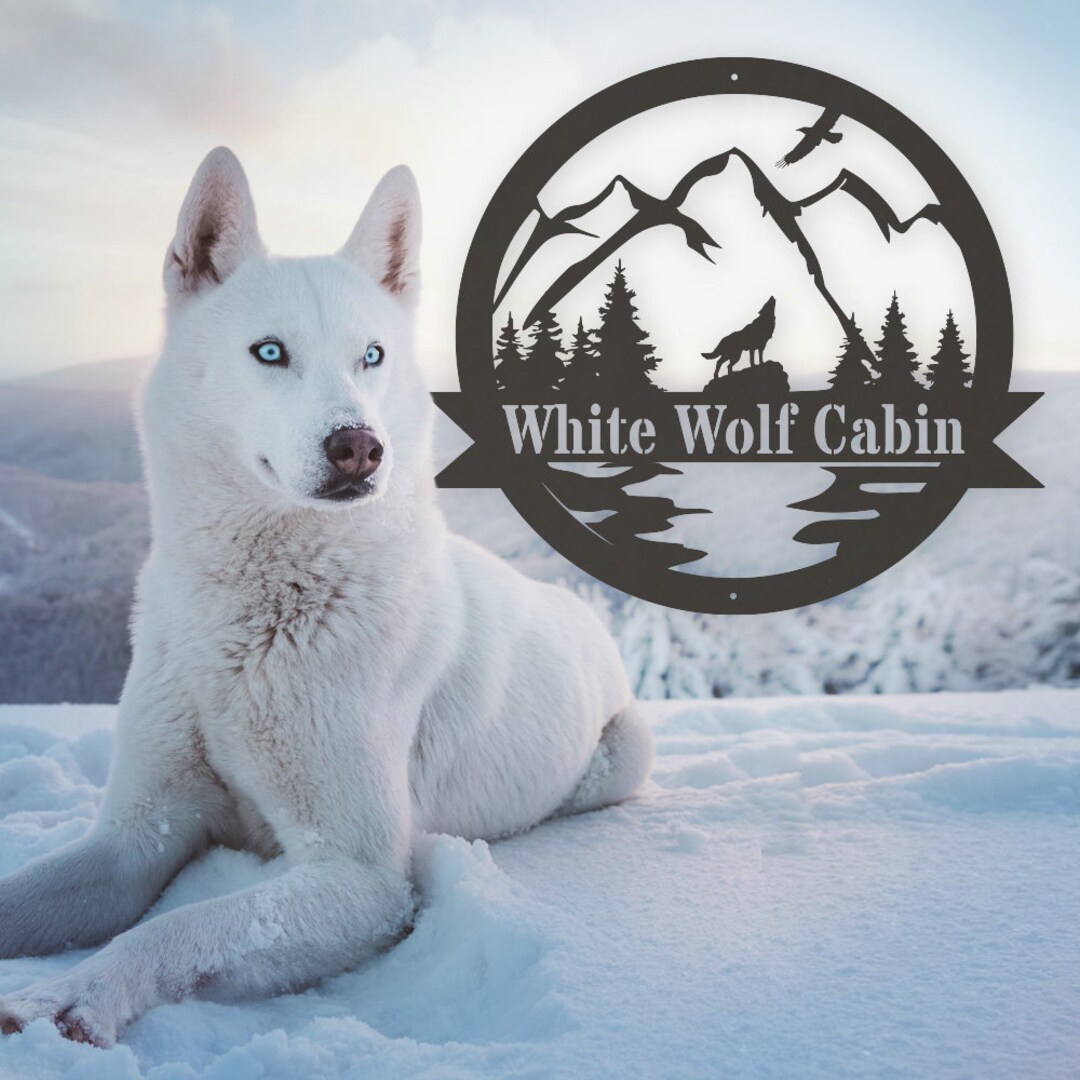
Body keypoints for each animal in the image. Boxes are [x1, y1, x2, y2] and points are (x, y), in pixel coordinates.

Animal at [0, 149, 652, 1047]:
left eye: (371, 355)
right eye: (270, 351)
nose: (359, 447)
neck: (252, 622)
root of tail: (575, 605)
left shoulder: (361, 877)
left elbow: (179, 925)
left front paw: (74, 996)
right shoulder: (133, 838)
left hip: (623, 757)